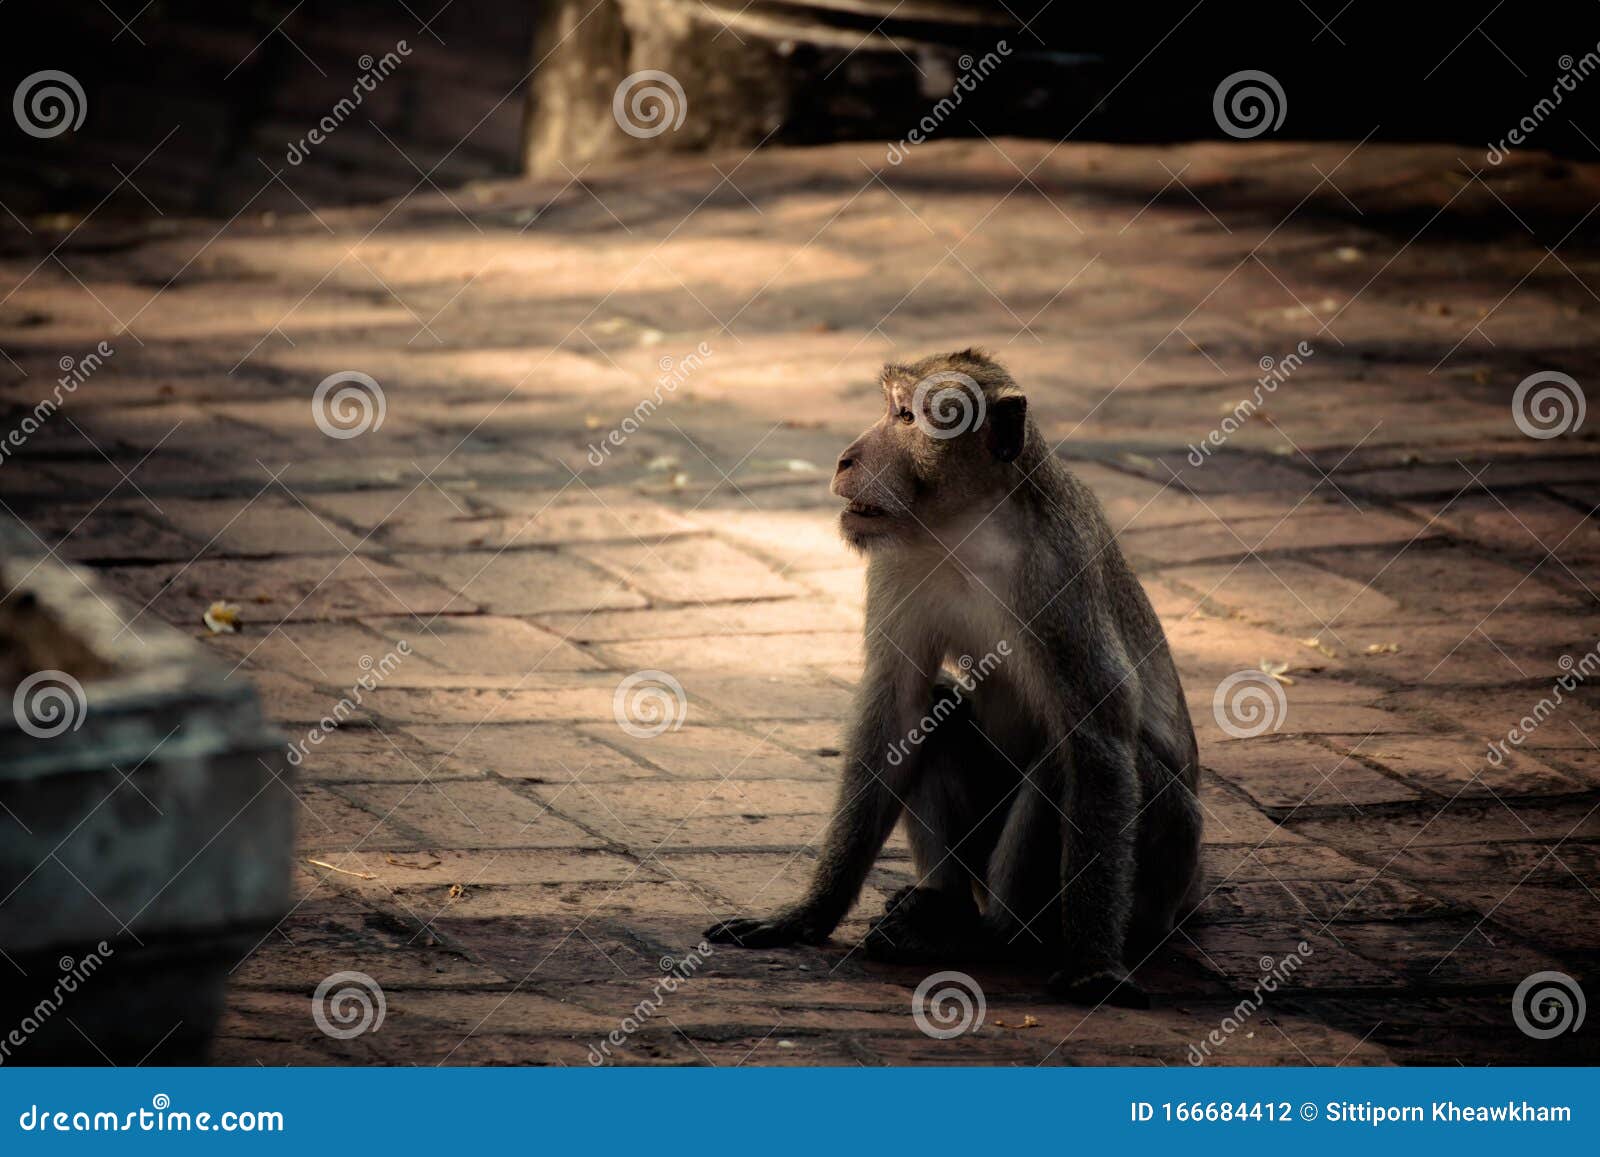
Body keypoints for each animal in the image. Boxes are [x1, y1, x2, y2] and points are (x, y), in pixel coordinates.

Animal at [705, 349, 1202, 1007]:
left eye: (906, 416)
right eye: (891, 407)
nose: (844, 458)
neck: (970, 529)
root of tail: (1192, 895)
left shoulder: (1060, 576)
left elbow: (1096, 742)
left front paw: (1094, 966)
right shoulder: (898, 558)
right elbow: (898, 708)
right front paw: (808, 914)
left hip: (1164, 867)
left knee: (1063, 757)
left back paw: (992, 937)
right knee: (937, 712)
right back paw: (943, 909)